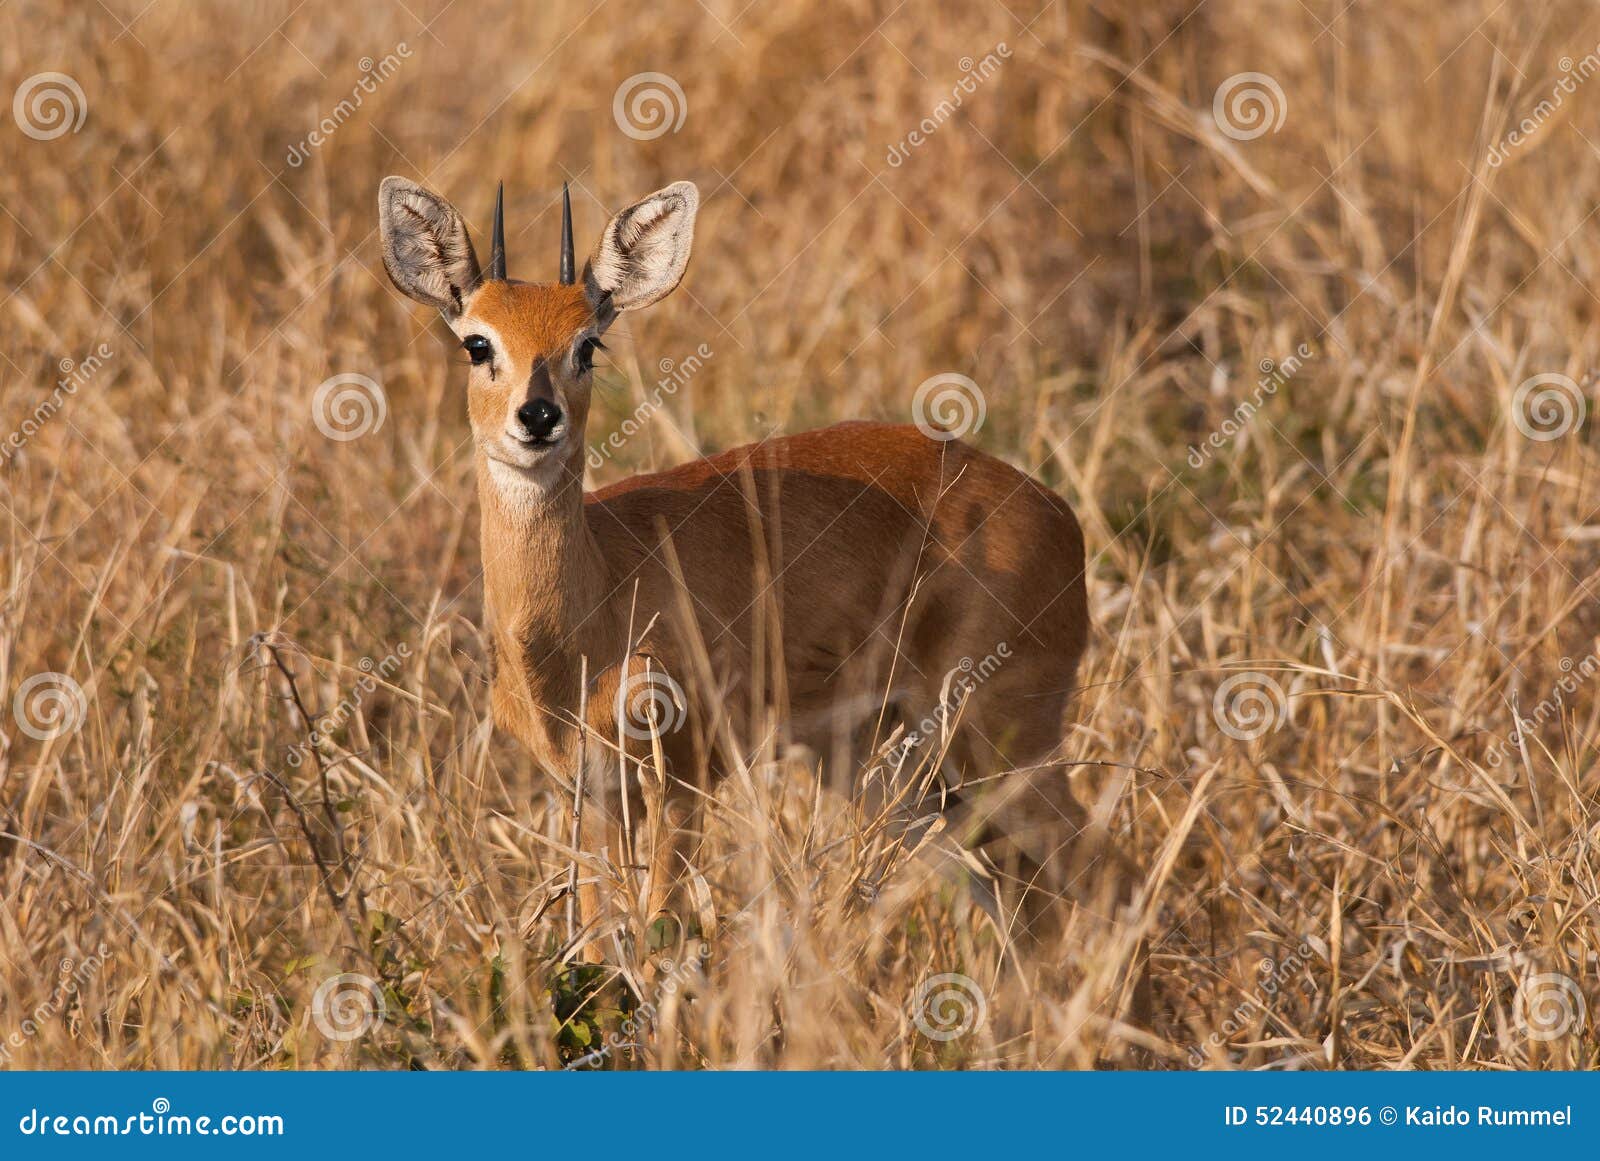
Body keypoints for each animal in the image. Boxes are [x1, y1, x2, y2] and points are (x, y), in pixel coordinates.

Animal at [378, 176, 1124, 973]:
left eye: (589, 342)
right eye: (477, 341)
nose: (538, 416)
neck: (589, 618)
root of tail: (1058, 514)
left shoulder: (682, 776)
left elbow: (664, 931)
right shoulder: (594, 792)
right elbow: (601, 939)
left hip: (1001, 733)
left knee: (1100, 869)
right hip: (891, 769)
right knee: (1020, 897)